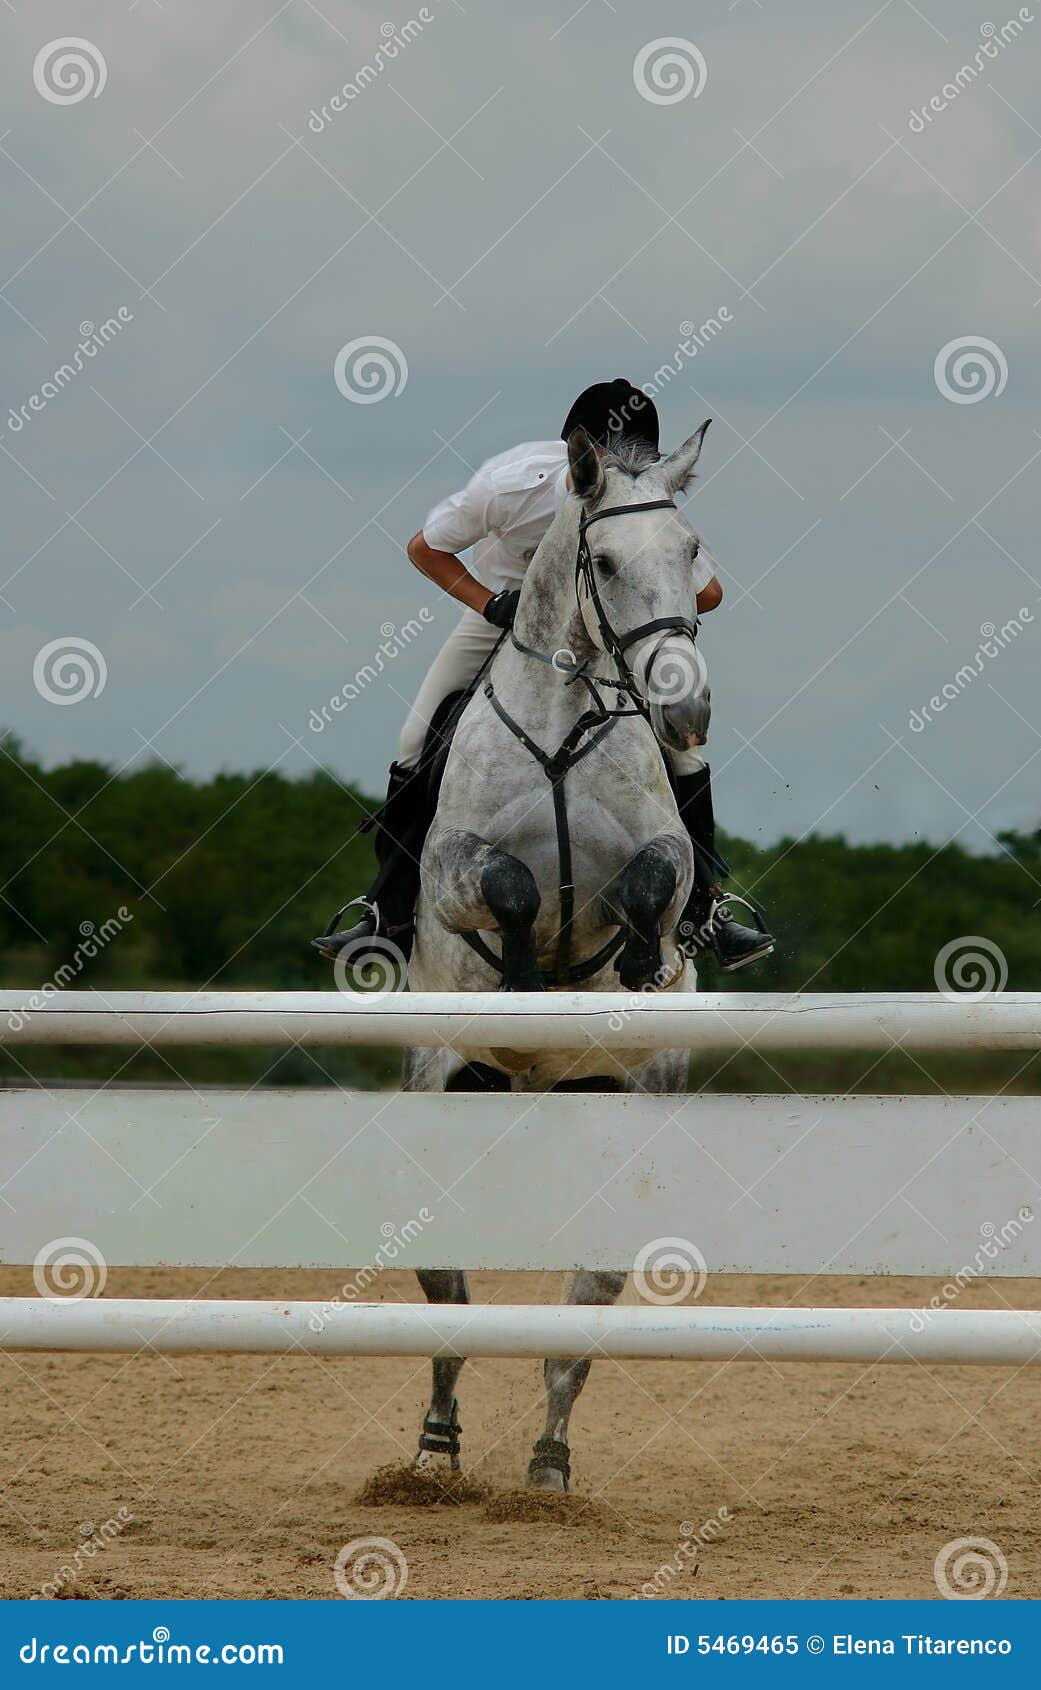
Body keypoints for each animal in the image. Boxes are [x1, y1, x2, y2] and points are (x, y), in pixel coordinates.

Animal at [403, 421, 713, 1490]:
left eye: (691, 553)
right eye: (604, 562)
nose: (686, 714)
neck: (566, 722)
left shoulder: (665, 852)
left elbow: (656, 879)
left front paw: (641, 958)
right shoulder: (452, 869)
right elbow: (506, 885)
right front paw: (527, 974)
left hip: (623, 1109)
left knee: (584, 1305)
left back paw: (547, 1461)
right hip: (444, 1088)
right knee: (448, 1290)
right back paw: (436, 1449)